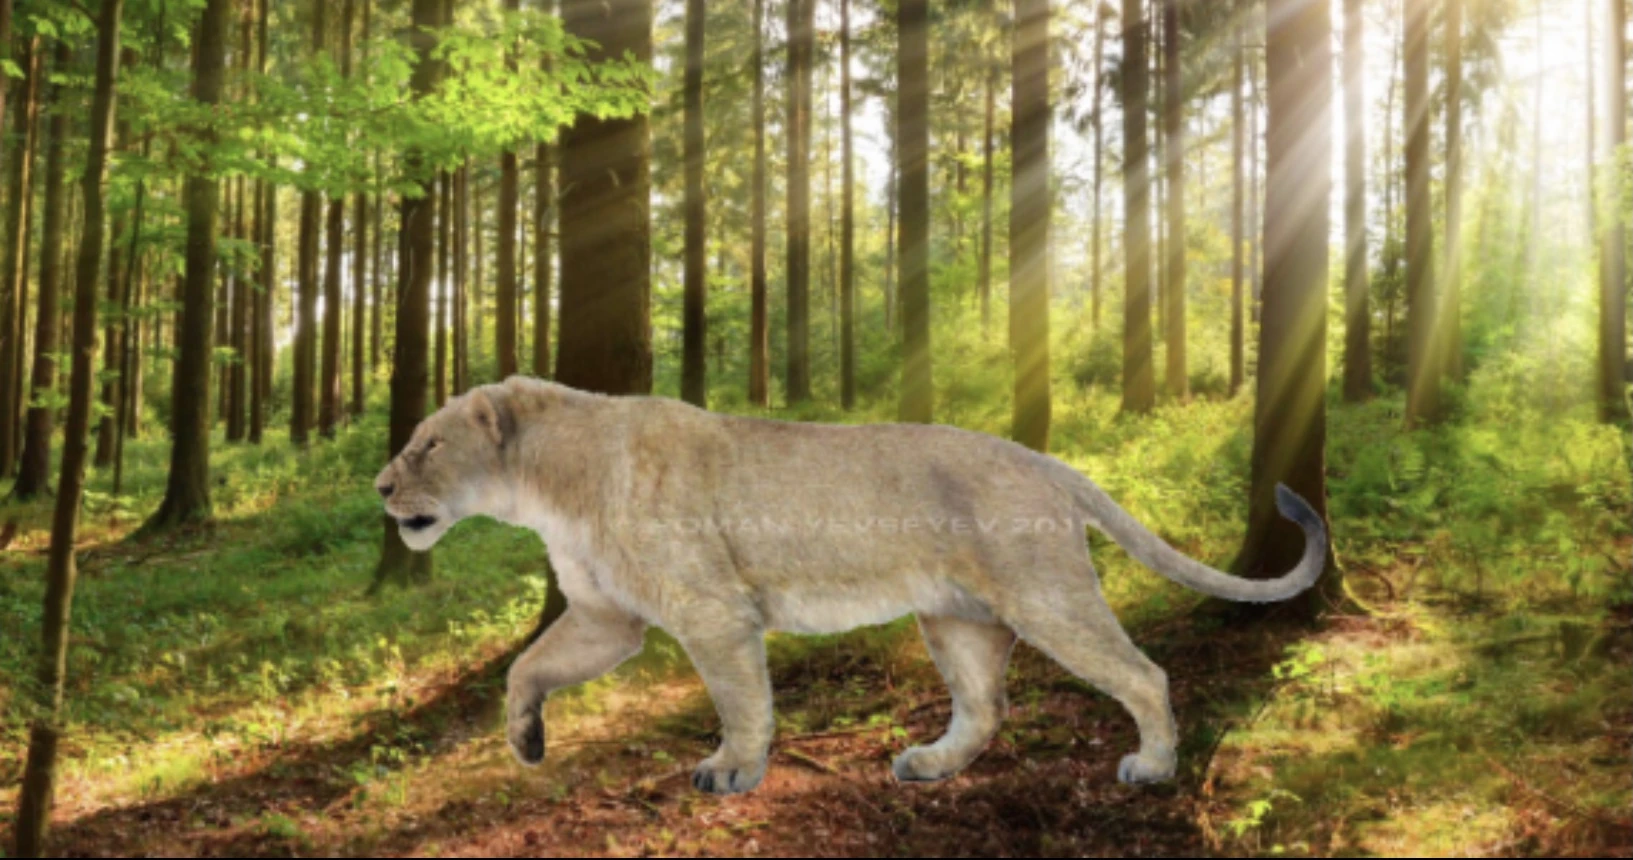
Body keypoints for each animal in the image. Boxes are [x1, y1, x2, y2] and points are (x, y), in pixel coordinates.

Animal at [374, 376, 1326, 795]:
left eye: (428, 444)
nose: (380, 488)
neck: (546, 491)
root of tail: (1041, 458)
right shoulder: (609, 617)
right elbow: (524, 667)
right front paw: (526, 742)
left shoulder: (711, 611)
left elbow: (741, 700)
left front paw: (731, 771)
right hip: (955, 621)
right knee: (985, 705)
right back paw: (928, 764)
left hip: (1047, 597)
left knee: (1143, 674)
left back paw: (1152, 766)